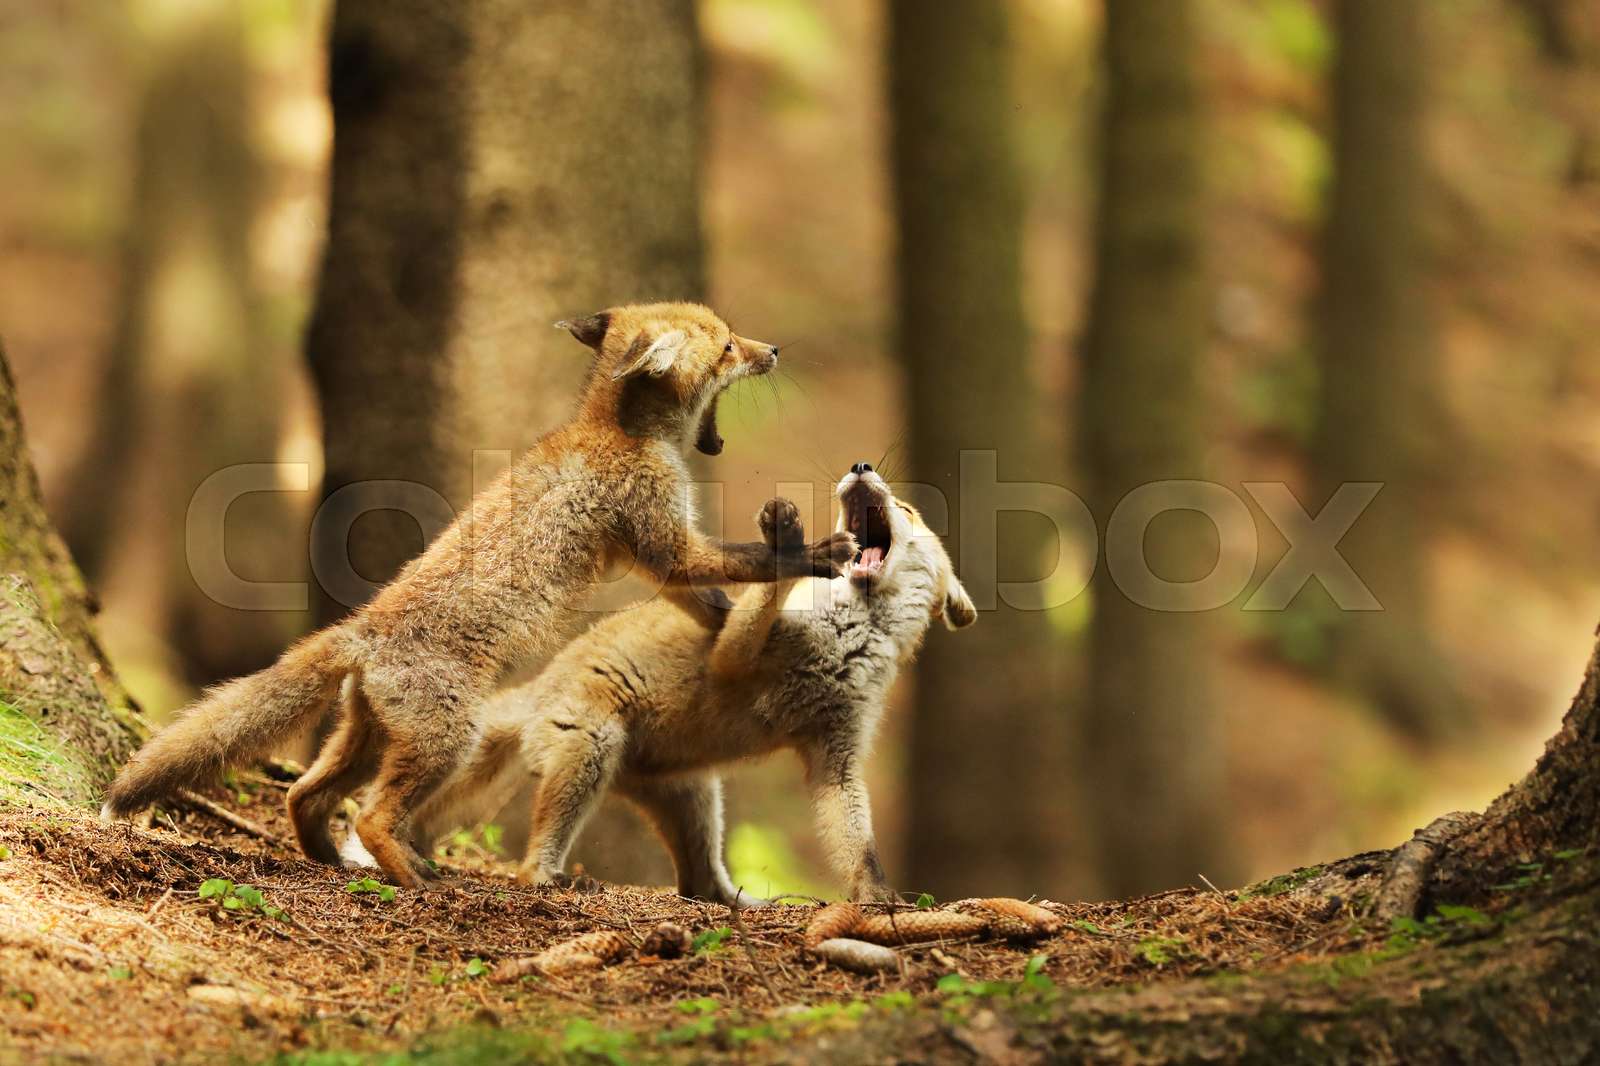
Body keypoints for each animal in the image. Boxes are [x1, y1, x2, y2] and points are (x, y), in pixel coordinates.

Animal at [101, 302, 858, 888]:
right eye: (728, 344)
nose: (773, 350)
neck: (616, 431)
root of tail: (363, 630)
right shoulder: (666, 540)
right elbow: (749, 562)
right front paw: (812, 554)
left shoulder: (653, 561)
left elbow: (710, 606)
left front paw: (734, 634)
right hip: (447, 741)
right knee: (370, 816)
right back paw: (412, 879)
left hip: (370, 741)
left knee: (305, 795)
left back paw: (329, 861)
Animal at [400, 463, 977, 904]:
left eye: (907, 511)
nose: (860, 467)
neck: (845, 638)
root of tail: (543, 682)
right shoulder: (732, 655)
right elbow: (753, 607)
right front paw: (787, 546)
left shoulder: (837, 757)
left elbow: (861, 849)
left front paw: (881, 901)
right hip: (591, 751)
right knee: (533, 858)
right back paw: (543, 875)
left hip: (696, 798)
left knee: (699, 885)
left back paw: (749, 905)